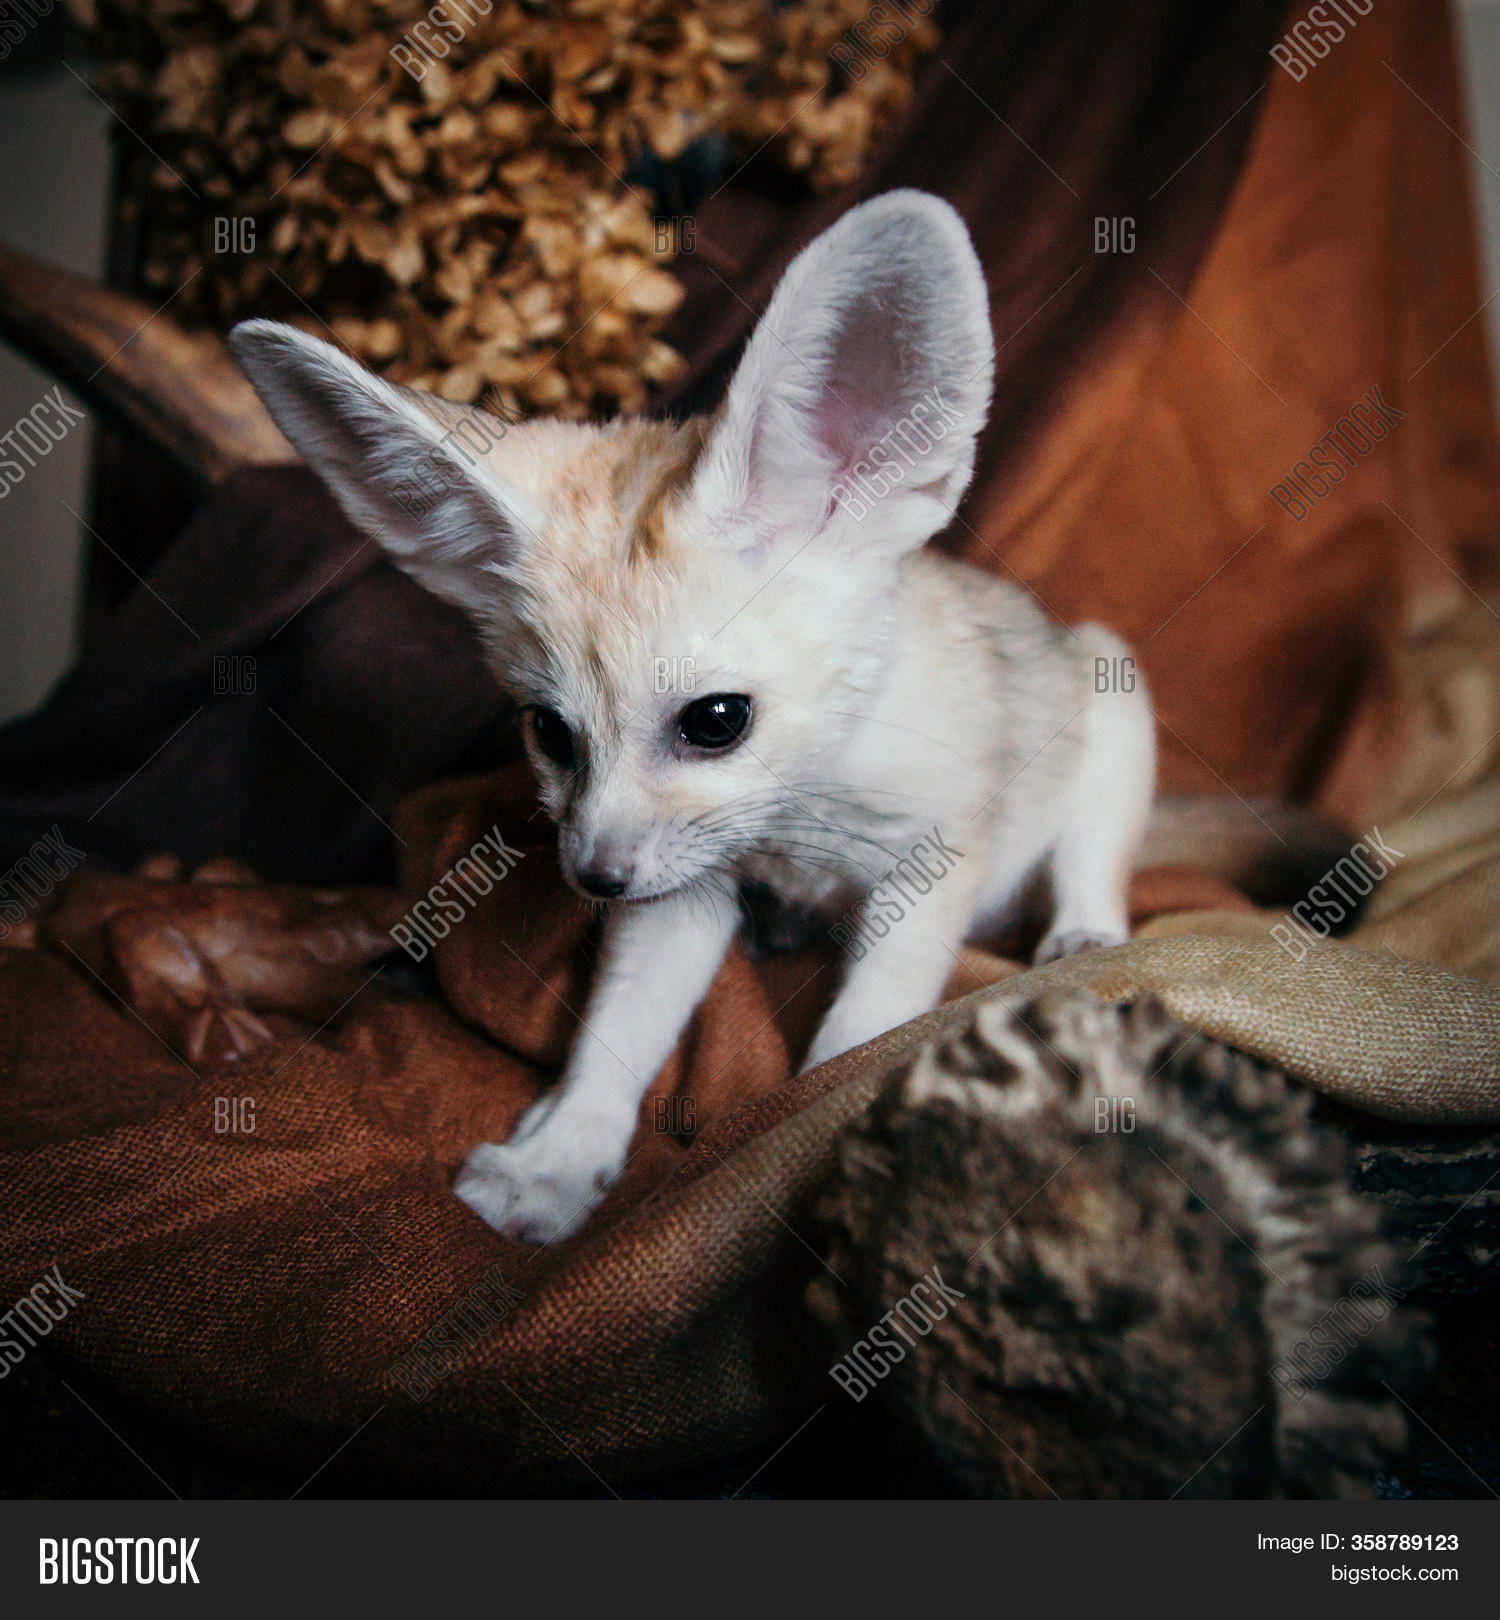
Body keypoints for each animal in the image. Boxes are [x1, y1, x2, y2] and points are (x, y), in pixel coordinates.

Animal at [229, 190, 1156, 1243]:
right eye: (549, 733)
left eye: (716, 721)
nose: (593, 879)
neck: (801, 812)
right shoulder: (684, 892)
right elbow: (619, 1034)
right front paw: (558, 1157)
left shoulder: (932, 857)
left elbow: (860, 1038)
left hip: (1117, 691)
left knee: (1091, 855)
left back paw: (1084, 934)